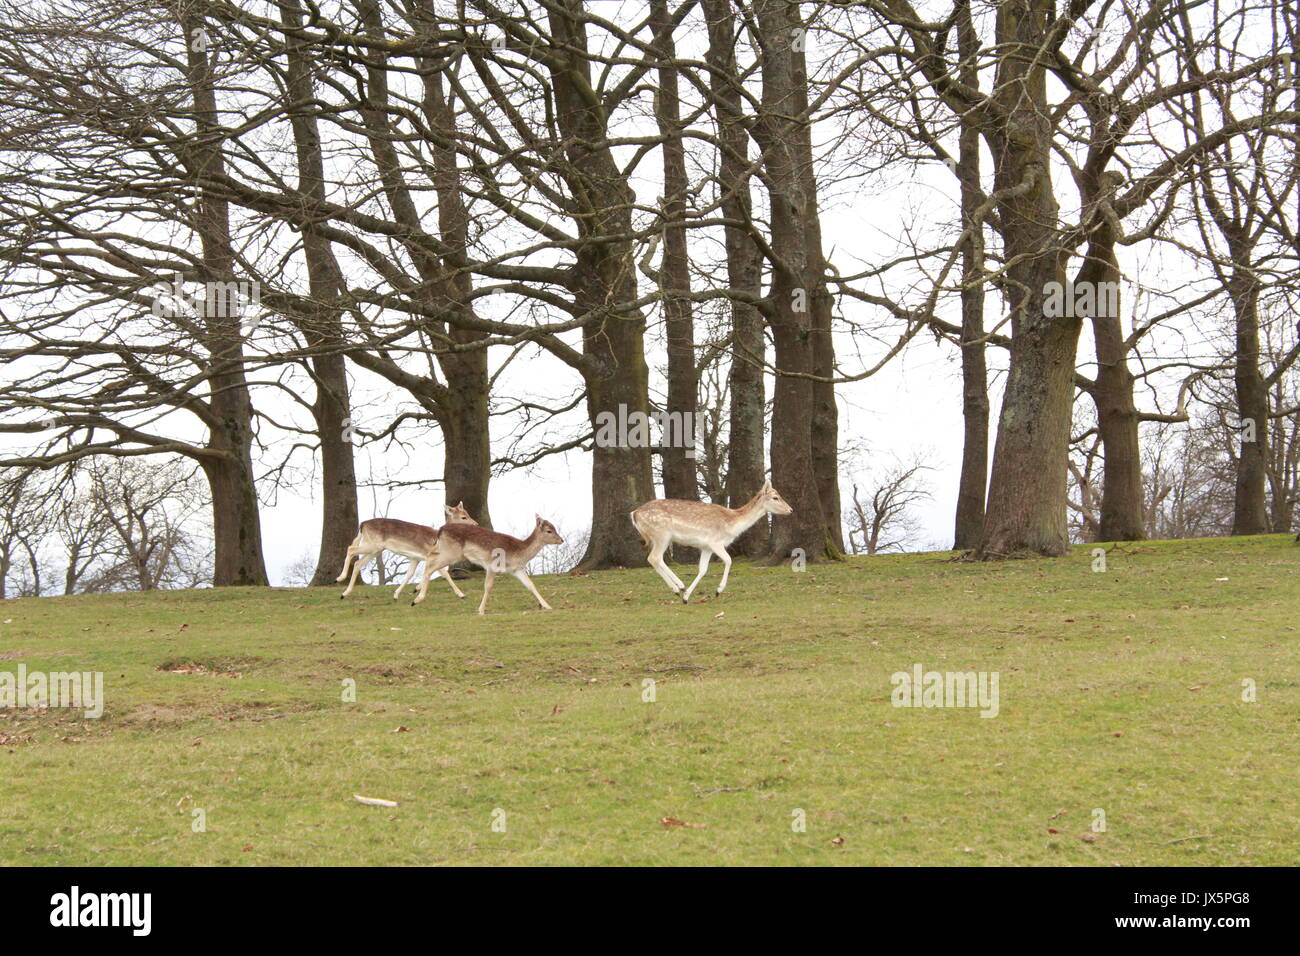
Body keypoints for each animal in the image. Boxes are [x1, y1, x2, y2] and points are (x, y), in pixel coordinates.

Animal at [337, 502, 477, 601]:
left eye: (468, 513)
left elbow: (410, 574)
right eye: (463, 517)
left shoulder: (415, 558)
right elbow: (445, 574)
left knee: (358, 563)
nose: (476, 524)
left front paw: (398, 594)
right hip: (372, 545)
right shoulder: (430, 555)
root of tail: (362, 525)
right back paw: (340, 578)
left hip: (374, 549)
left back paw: (344, 593)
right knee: (351, 549)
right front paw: (462, 595)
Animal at [412, 515, 564, 615]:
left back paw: (417, 592)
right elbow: (488, 587)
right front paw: (481, 610)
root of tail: (440, 529)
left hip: (447, 551)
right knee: (430, 566)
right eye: (549, 530)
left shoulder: (517, 569)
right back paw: (417, 599)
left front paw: (547, 606)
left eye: (555, 527)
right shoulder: (492, 565)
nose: (561, 540)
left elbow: (531, 585)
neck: (518, 552)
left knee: (429, 558)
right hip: (451, 553)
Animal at [630, 479, 793, 603]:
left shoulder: (706, 547)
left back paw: (680, 588)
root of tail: (634, 514)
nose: (790, 510)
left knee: (655, 559)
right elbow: (728, 560)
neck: (732, 524)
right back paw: (677, 587)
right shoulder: (715, 541)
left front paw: (686, 597)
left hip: (661, 537)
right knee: (654, 558)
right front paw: (718, 591)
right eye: (775, 497)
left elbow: (703, 569)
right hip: (661, 534)